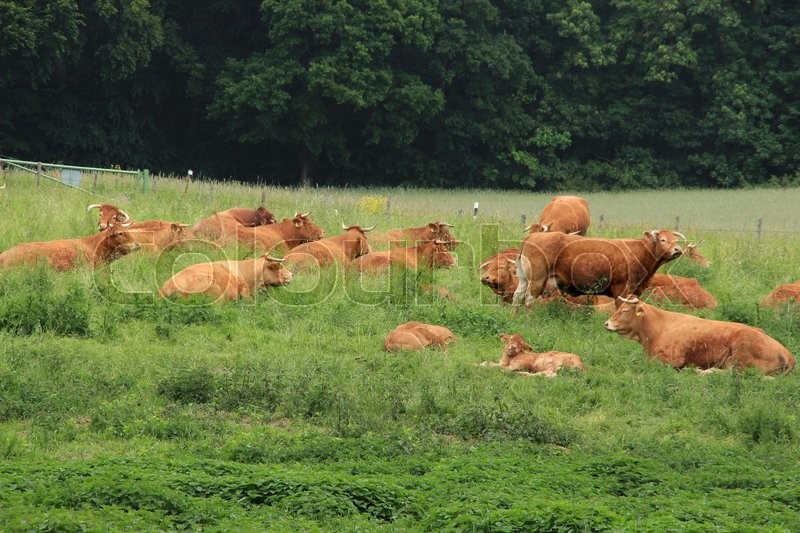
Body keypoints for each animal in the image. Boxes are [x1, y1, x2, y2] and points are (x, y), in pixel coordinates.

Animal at [512, 229, 684, 312]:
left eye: (675, 240)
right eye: (663, 240)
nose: (677, 250)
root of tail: (533, 236)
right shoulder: (621, 288)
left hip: (524, 279)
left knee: (517, 296)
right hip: (537, 279)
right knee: (528, 298)